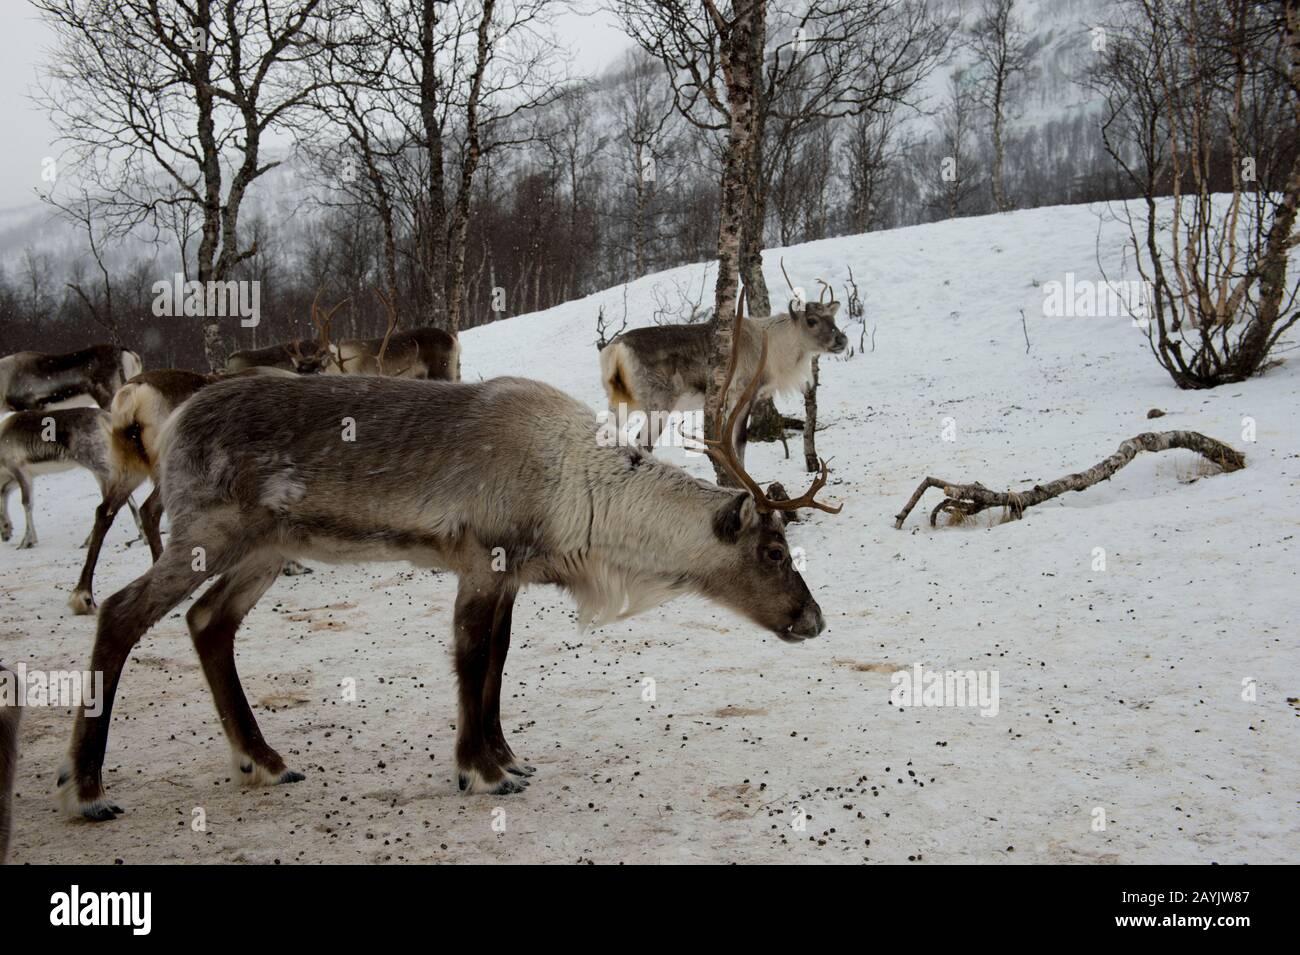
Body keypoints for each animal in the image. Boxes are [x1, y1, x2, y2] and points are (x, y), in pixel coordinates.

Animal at [0, 407, 145, 551]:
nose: (4, 537)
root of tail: (107, 419)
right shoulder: (19, 478)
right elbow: (4, 493)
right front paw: (7, 530)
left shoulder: (19, 472)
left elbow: (26, 503)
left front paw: (27, 542)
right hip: (99, 472)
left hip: (100, 465)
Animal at [56, 293, 840, 820]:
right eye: (774, 550)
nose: (814, 620)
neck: (580, 495)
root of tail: (168, 423)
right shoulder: (482, 558)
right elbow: (470, 663)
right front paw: (480, 771)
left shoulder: (508, 575)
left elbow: (496, 664)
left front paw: (506, 756)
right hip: (209, 532)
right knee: (124, 613)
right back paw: (88, 785)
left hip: (266, 549)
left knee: (208, 623)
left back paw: (265, 760)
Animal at [599, 265, 846, 459]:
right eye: (812, 320)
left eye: (833, 318)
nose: (842, 339)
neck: (776, 353)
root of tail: (615, 350)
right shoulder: (743, 392)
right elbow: (740, 440)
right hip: (657, 403)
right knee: (643, 444)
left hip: (619, 403)